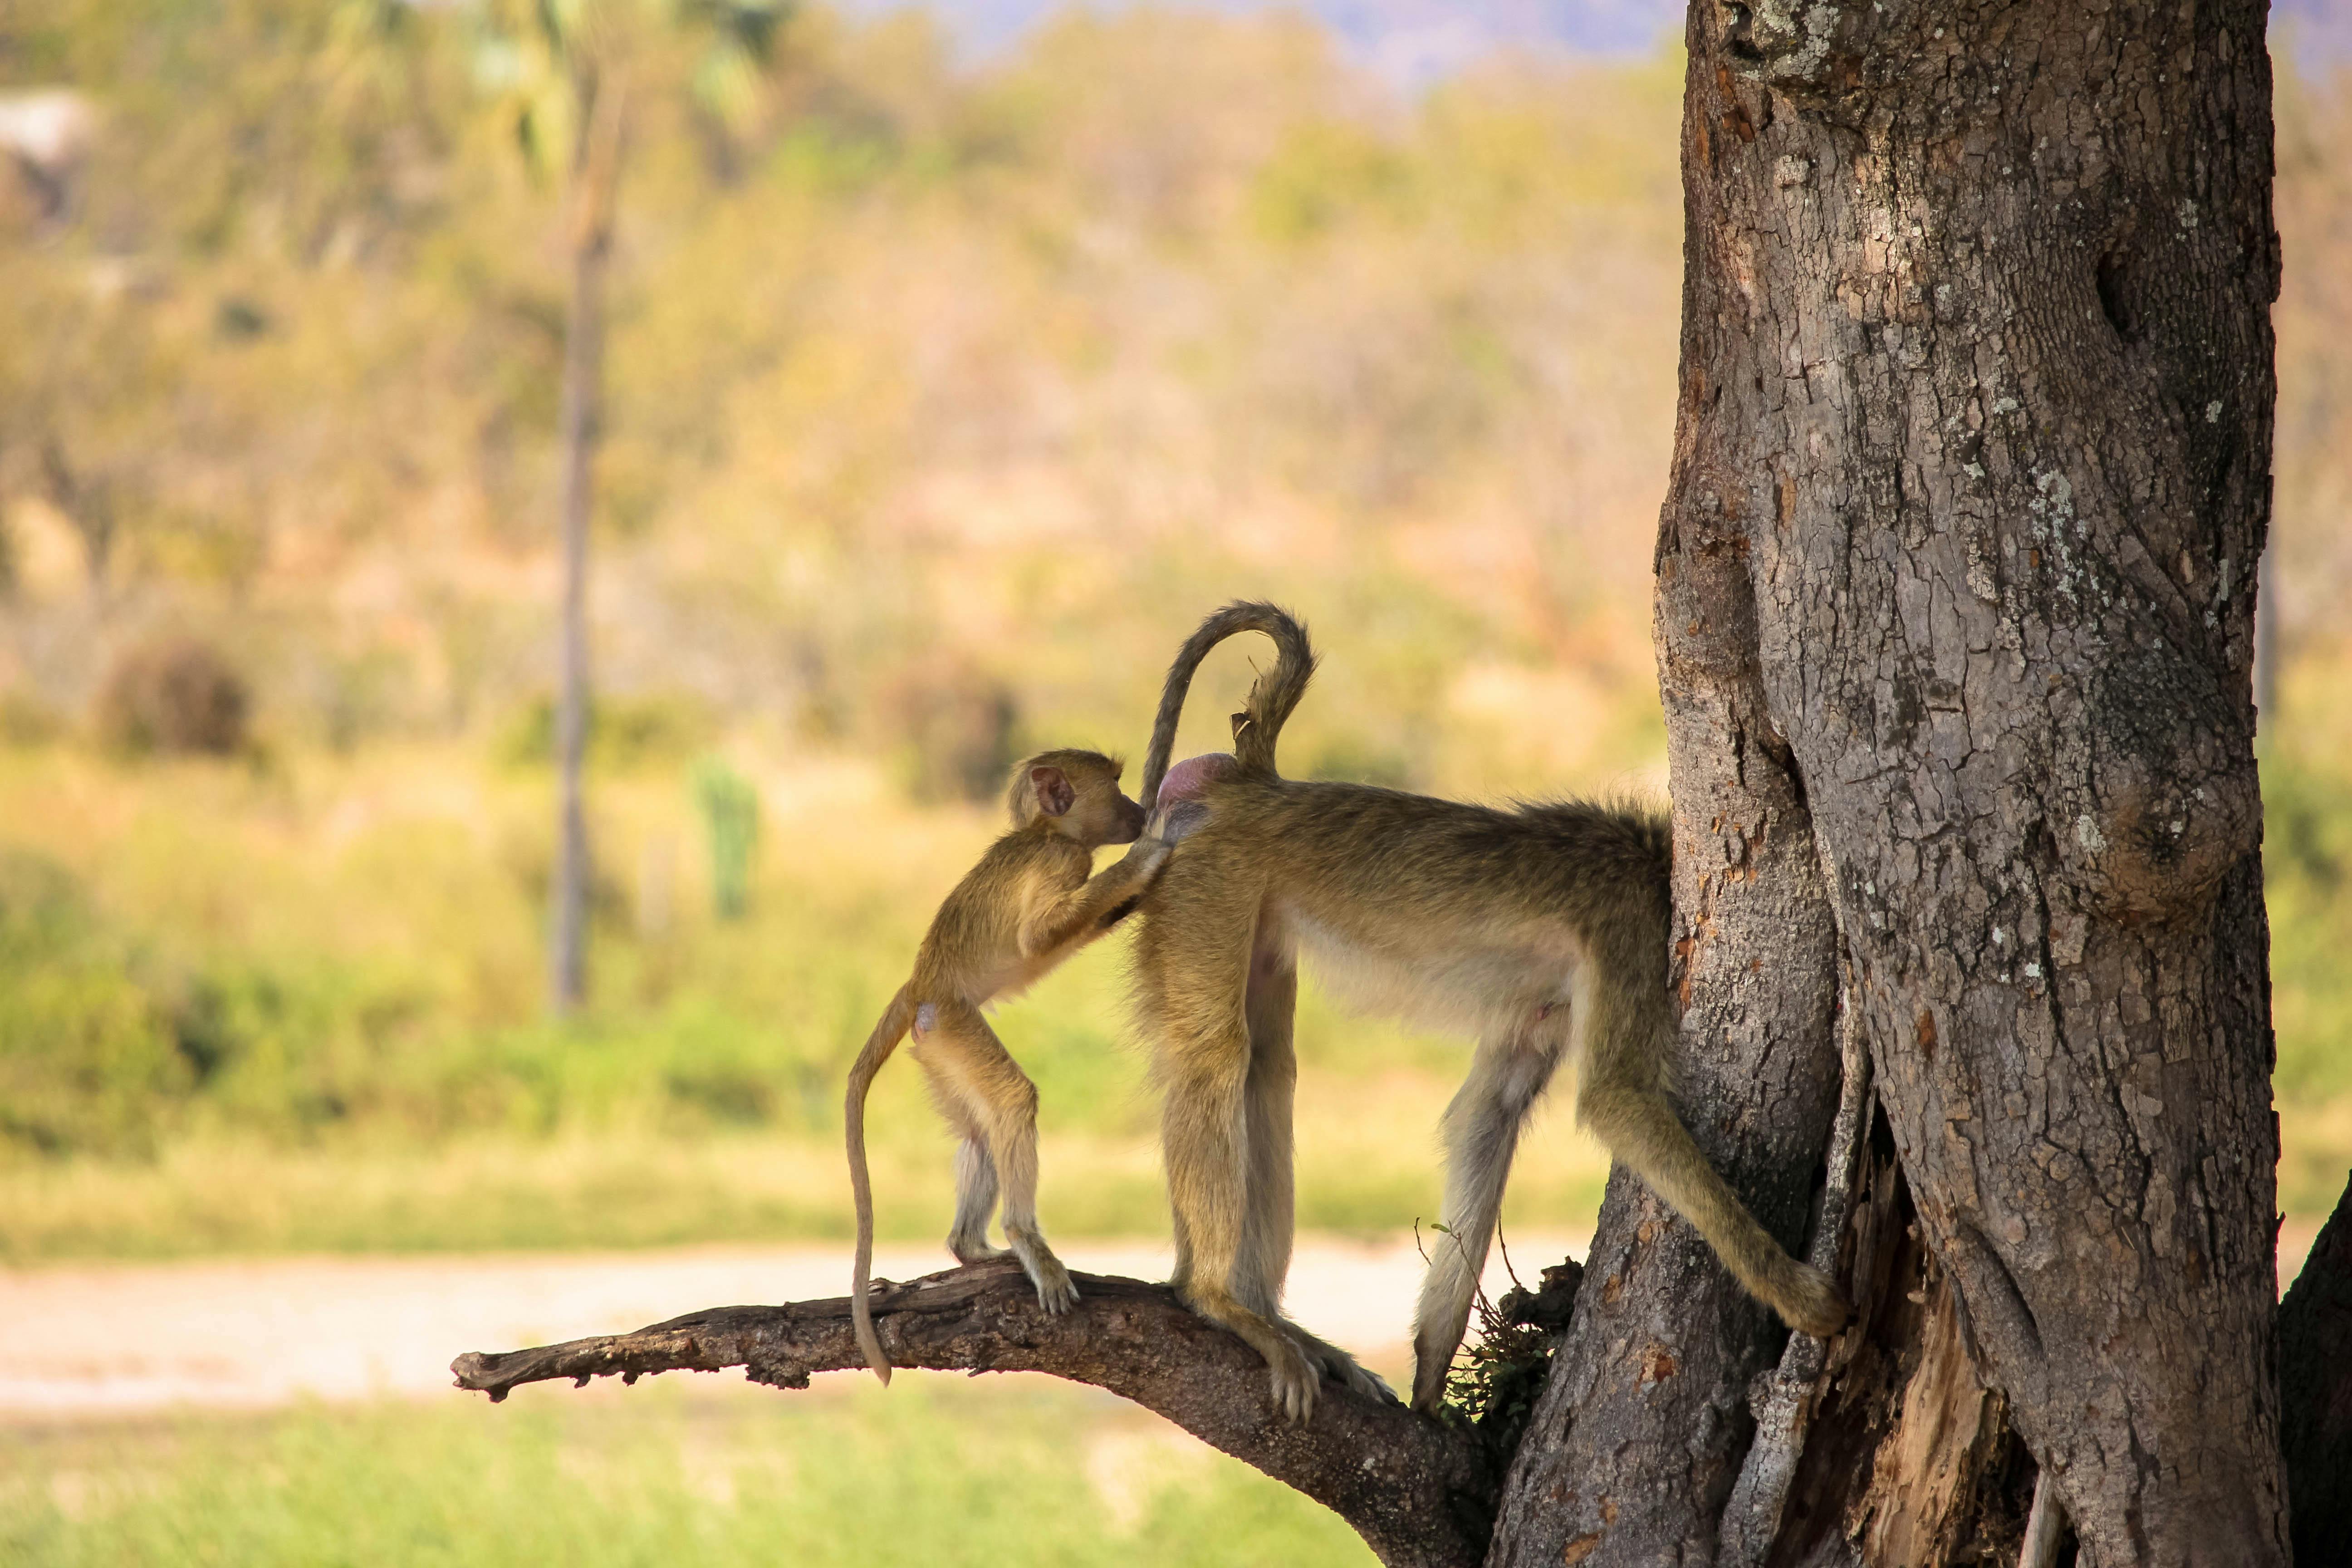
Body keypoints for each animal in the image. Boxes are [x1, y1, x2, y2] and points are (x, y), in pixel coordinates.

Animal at [846, 748, 1169, 1384]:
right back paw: (1024, 1238)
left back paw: (971, 1247)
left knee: (981, 1128)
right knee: (1013, 1103)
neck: (1047, 832)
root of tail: (923, 981)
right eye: (1115, 786)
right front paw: (1146, 858)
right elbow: (1038, 934)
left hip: (939, 1046)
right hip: (954, 1026)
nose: (1138, 810)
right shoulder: (1064, 861)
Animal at [1128, 602, 1849, 1421]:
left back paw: (1268, 1317)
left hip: (1250, 905)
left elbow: (1492, 1109)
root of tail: (1251, 790)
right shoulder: (1627, 920)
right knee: (1215, 1055)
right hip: (1206, 882)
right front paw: (1798, 1294)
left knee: (1265, 1072)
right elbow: (1615, 1100)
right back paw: (1216, 1301)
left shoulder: (1545, 1004)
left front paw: (1430, 1378)